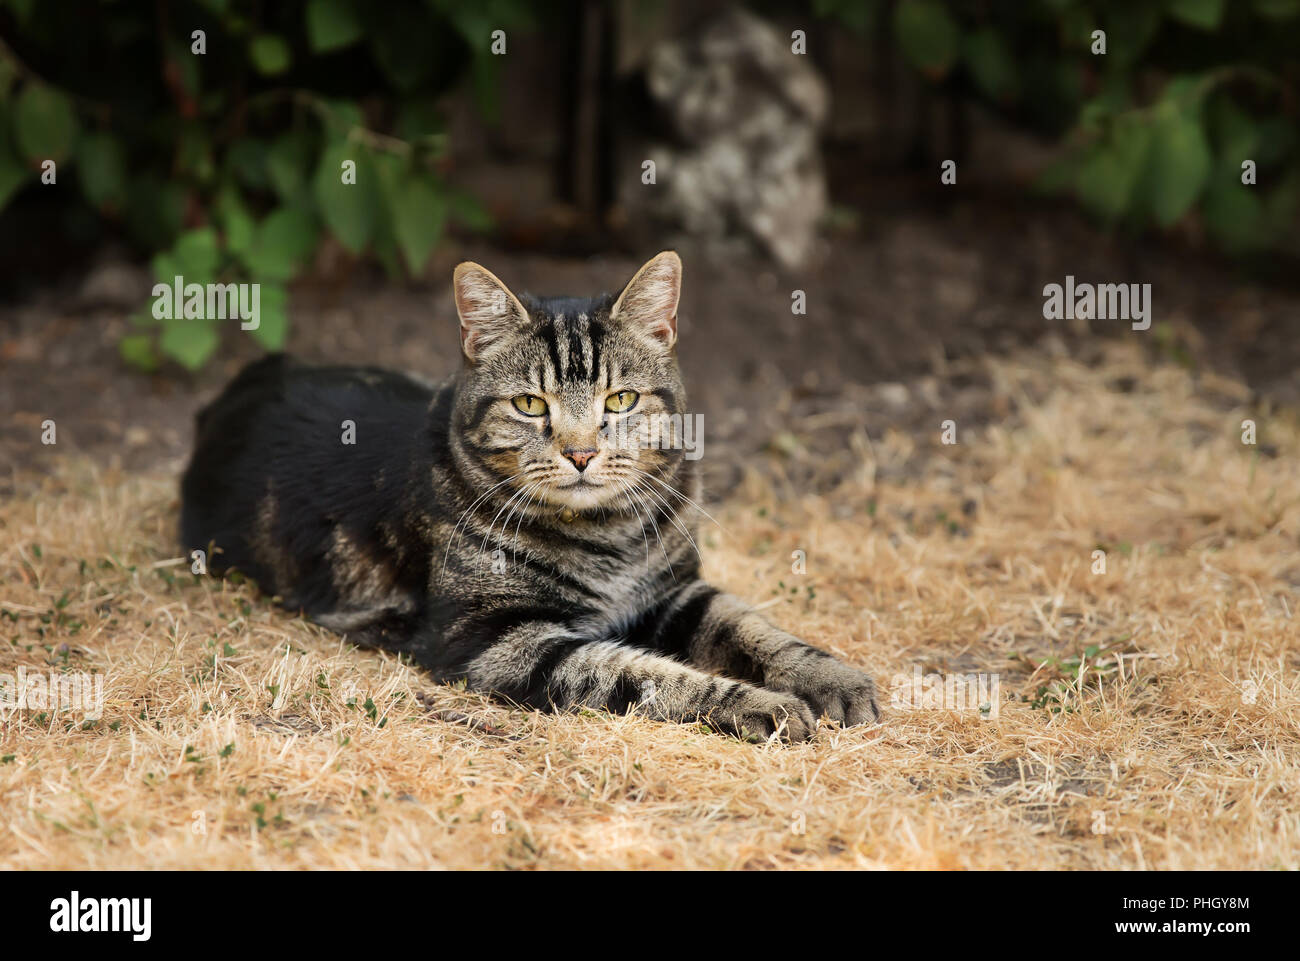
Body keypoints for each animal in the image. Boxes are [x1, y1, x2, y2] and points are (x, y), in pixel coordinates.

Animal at [180, 252, 873, 738]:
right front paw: (761, 704)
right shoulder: (496, 642)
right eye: (529, 405)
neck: (607, 533)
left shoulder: (674, 592)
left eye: (620, 399)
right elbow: (642, 674)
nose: (581, 453)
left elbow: (755, 627)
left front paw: (830, 677)